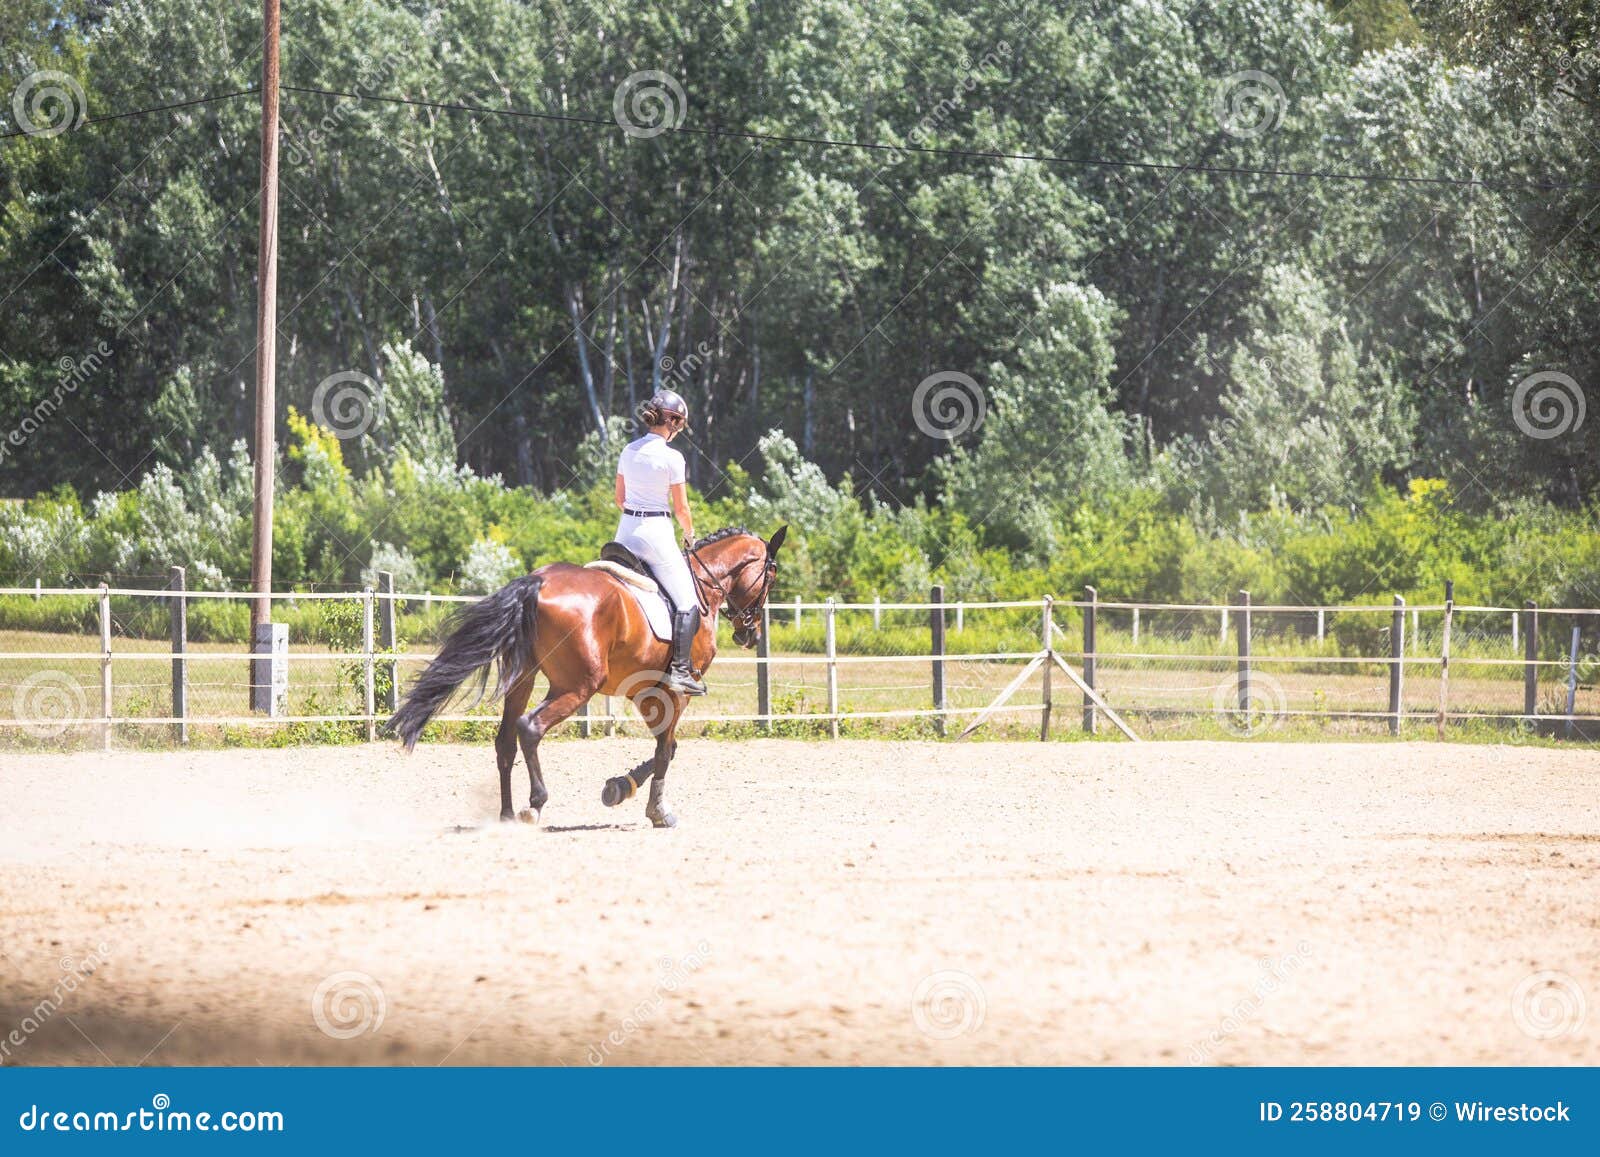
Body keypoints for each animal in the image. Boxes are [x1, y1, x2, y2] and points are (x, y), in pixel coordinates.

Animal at [389, 525, 786, 828]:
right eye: (771, 574)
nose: (749, 635)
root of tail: (537, 582)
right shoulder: (675, 692)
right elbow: (666, 750)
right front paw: (656, 811)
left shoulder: (644, 689)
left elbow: (667, 748)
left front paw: (619, 788)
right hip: (577, 686)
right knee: (529, 728)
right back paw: (535, 804)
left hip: (524, 678)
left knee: (505, 740)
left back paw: (506, 814)